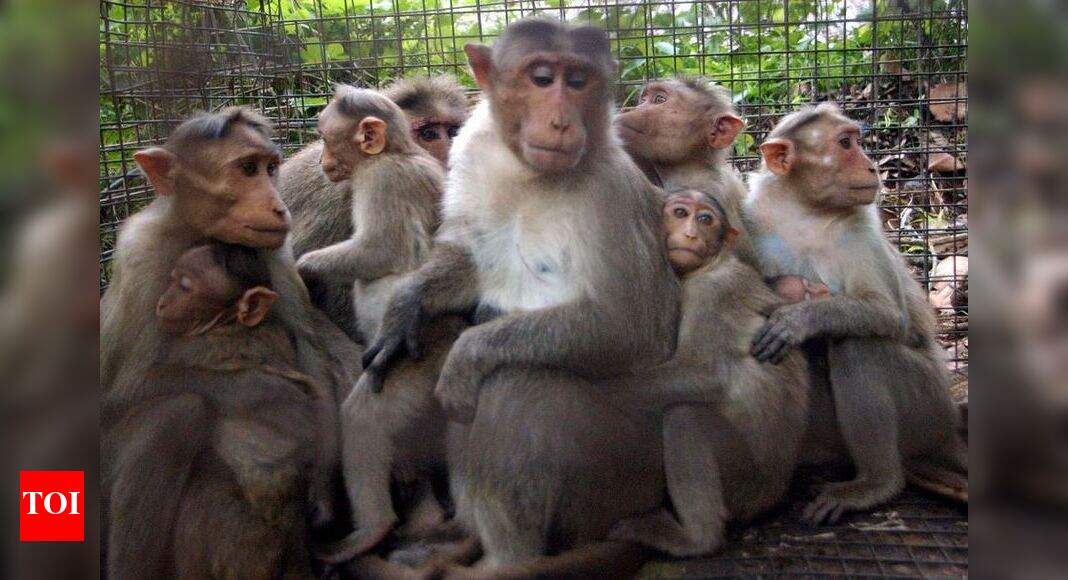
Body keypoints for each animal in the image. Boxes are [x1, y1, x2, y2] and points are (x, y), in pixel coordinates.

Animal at [104, 242, 336, 579]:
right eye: (172, 279)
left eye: (185, 285)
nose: (163, 301)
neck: (228, 323)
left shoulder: (191, 345)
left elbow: (127, 390)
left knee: (181, 410)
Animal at [295, 85, 445, 345]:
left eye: (324, 139)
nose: (320, 159)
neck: (395, 152)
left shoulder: (381, 177)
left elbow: (382, 249)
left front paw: (303, 268)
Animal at [358, 19, 680, 569]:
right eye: (542, 78)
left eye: (578, 81)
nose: (560, 122)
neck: (530, 174)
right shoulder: (471, 151)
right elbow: (469, 255)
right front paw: (405, 307)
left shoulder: (610, 198)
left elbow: (629, 328)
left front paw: (467, 356)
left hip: (615, 475)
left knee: (517, 383)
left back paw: (508, 561)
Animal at [745, 102, 968, 524]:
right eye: (845, 144)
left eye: (855, 141)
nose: (871, 166)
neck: (805, 213)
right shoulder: (751, 217)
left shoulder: (859, 230)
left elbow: (889, 315)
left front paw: (802, 317)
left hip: (928, 406)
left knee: (858, 345)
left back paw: (876, 483)